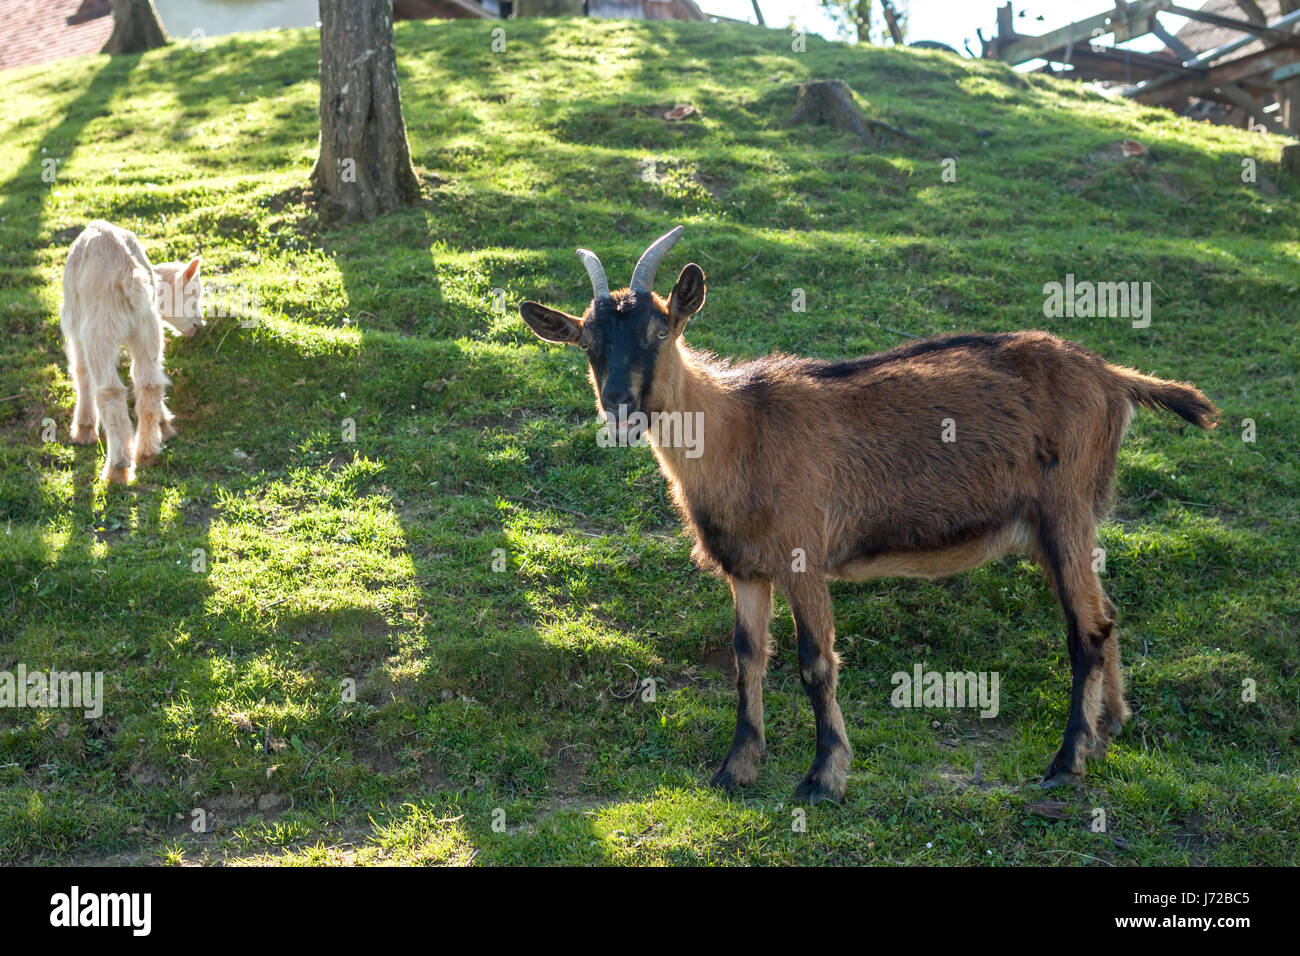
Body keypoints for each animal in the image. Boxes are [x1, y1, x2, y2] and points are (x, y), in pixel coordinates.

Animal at [61, 220, 204, 483]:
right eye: (193, 294)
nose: (199, 324)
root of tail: (131, 275)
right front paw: (164, 424)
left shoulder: (75, 326)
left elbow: (81, 371)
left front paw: (84, 428)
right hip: (147, 326)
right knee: (150, 383)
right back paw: (146, 452)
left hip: (100, 330)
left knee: (110, 390)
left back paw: (118, 468)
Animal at [520, 226, 1218, 804]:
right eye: (586, 342)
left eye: (660, 332)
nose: (618, 407)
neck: (739, 431)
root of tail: (1113, 377)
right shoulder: (746, 570)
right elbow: (748, 658)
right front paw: (737, 768)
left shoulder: (803, 555)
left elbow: (814, 662)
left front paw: (824, 776)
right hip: (1065, 526)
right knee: (1106, 612)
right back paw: (1109, 730)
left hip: (1063, 511)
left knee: (1087, 630)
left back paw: (1067, 761)